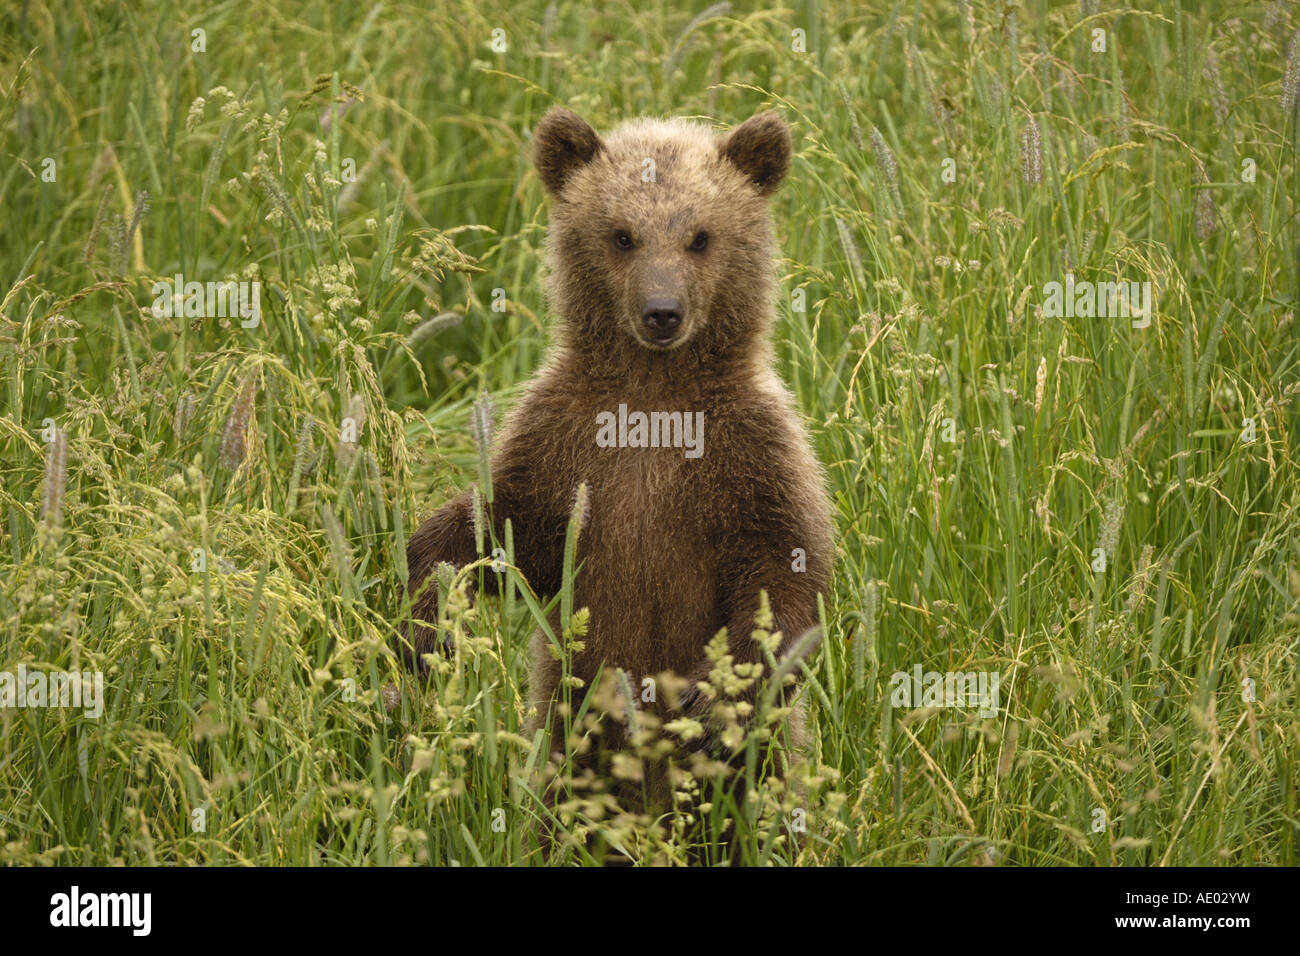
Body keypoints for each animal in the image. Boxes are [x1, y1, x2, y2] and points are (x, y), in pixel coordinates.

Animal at [401, 107, 834, 840]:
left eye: (700, 236)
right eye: (622, 234)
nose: (662, 313)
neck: (653, 401)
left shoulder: (753, 456)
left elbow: (784, 576)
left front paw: (711, 702)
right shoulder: (566, 447)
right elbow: (501, 529)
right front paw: (424, 620)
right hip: (569, 717)